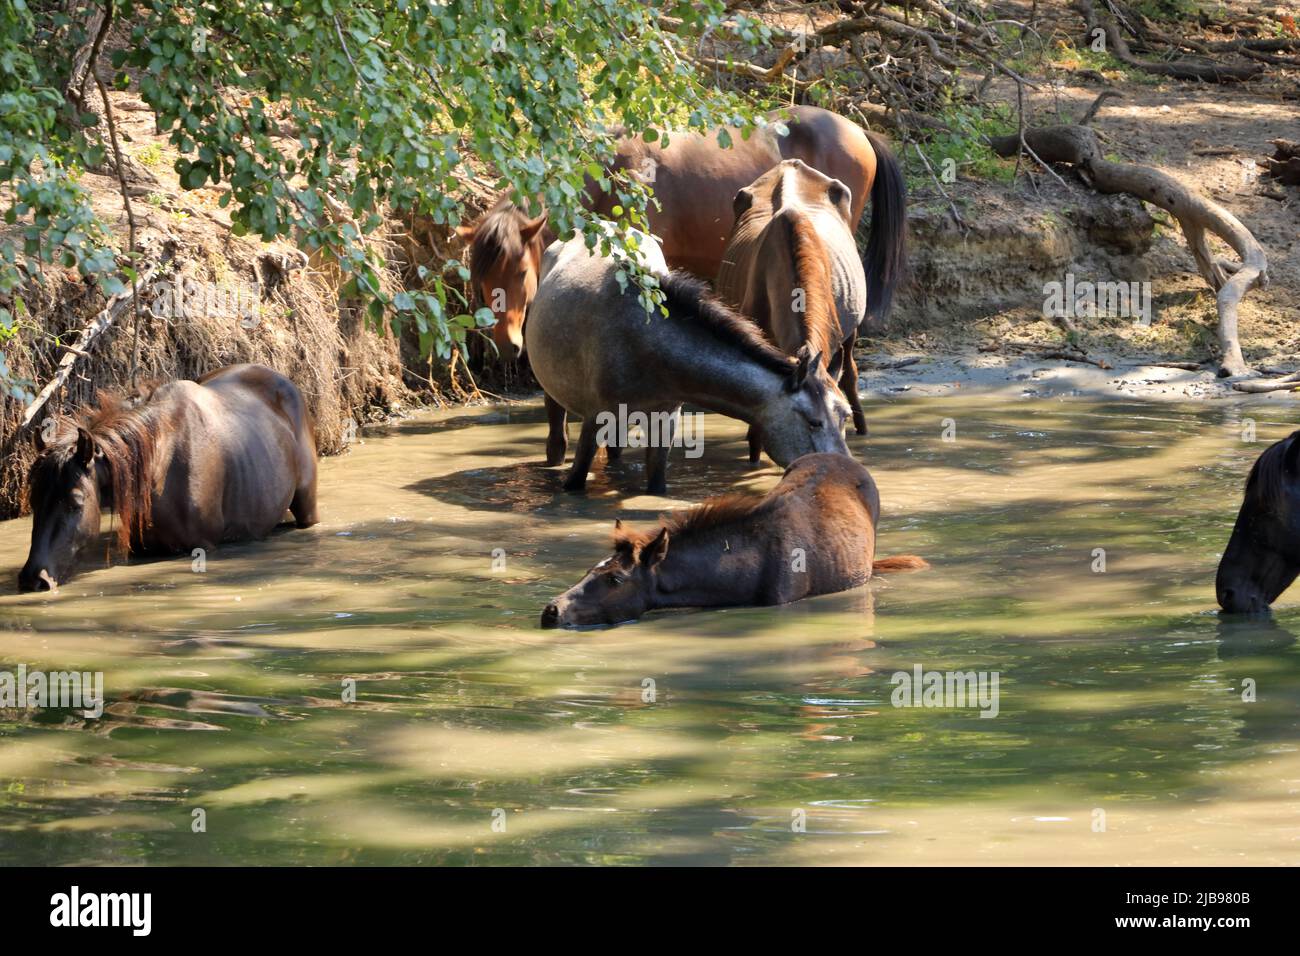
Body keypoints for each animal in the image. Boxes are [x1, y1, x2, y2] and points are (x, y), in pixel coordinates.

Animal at [17, 364, 318, 592]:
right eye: (34, 500)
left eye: (75, 502)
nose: (33, 578)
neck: (160, 465)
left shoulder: (205, 546)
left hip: (307, 507)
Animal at [525, 233, 852, 495]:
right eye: (813, 422)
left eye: (846, 416)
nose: (842, 474)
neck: (647, 343)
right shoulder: (595, 418)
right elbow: (575, 481)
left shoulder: (665, 419)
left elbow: (656, 485)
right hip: (553, 394)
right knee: (557, 438)